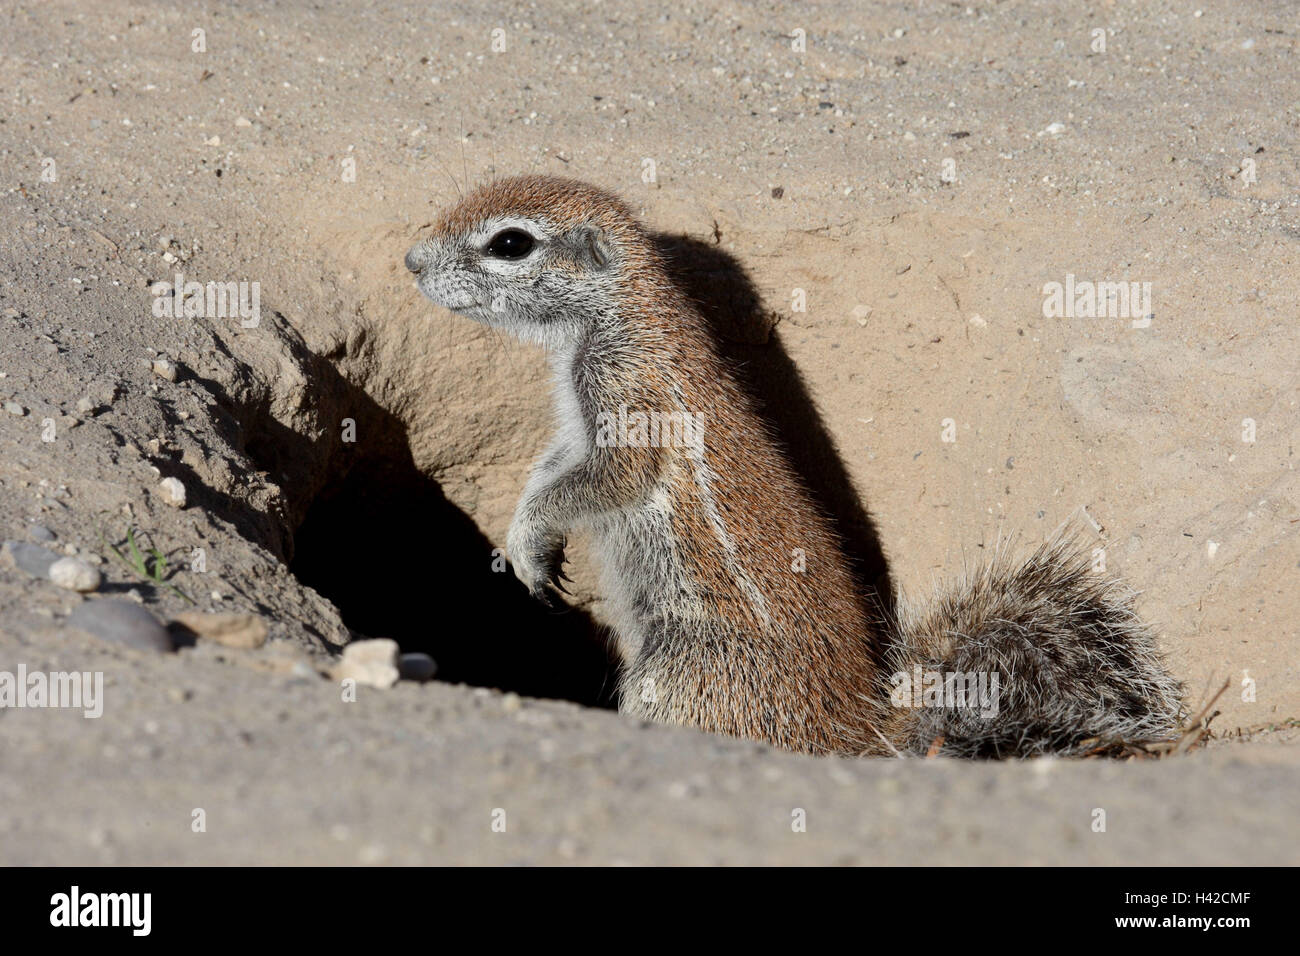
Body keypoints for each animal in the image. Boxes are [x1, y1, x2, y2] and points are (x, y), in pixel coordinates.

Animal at [405, 174, 1185, 758]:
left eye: (510, 243)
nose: (412, 261)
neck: (614, 319)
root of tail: (855, 731)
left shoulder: (633, 407)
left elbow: (605, 479)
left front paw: (532, 535)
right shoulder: (573, 426)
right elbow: (553, 469)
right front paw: (525, 540)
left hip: (684, 671)